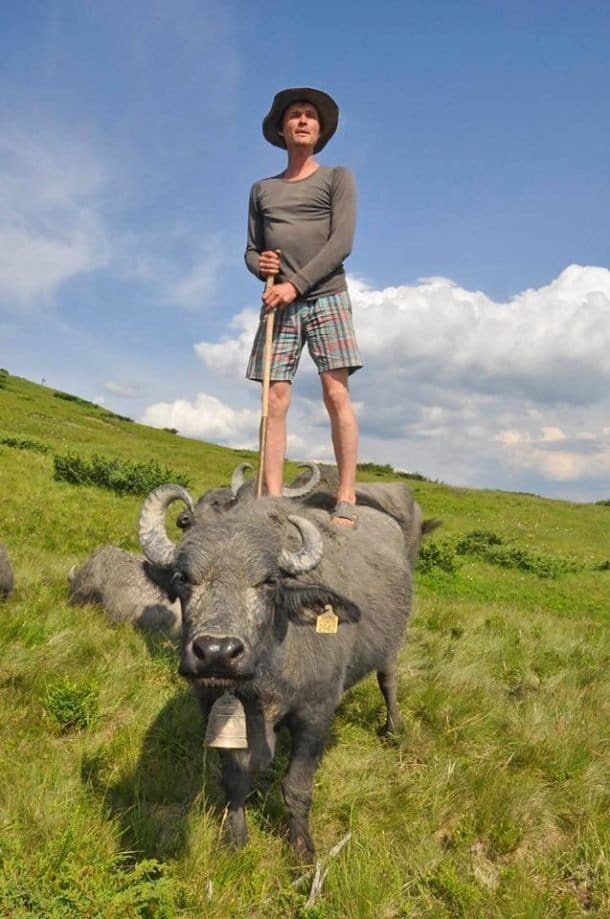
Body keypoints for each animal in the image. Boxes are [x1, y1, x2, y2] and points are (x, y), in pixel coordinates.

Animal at [138, 473, 433, 860]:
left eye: (269, 580)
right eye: (182, 578)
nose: (217, 652)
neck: (264, 681)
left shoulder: (315, 716)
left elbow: (296, 786)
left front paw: (302, 850)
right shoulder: (215, 711)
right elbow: (234, 778)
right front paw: (236, 837)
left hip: (392, 643)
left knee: (388, 678)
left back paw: (393, 728)